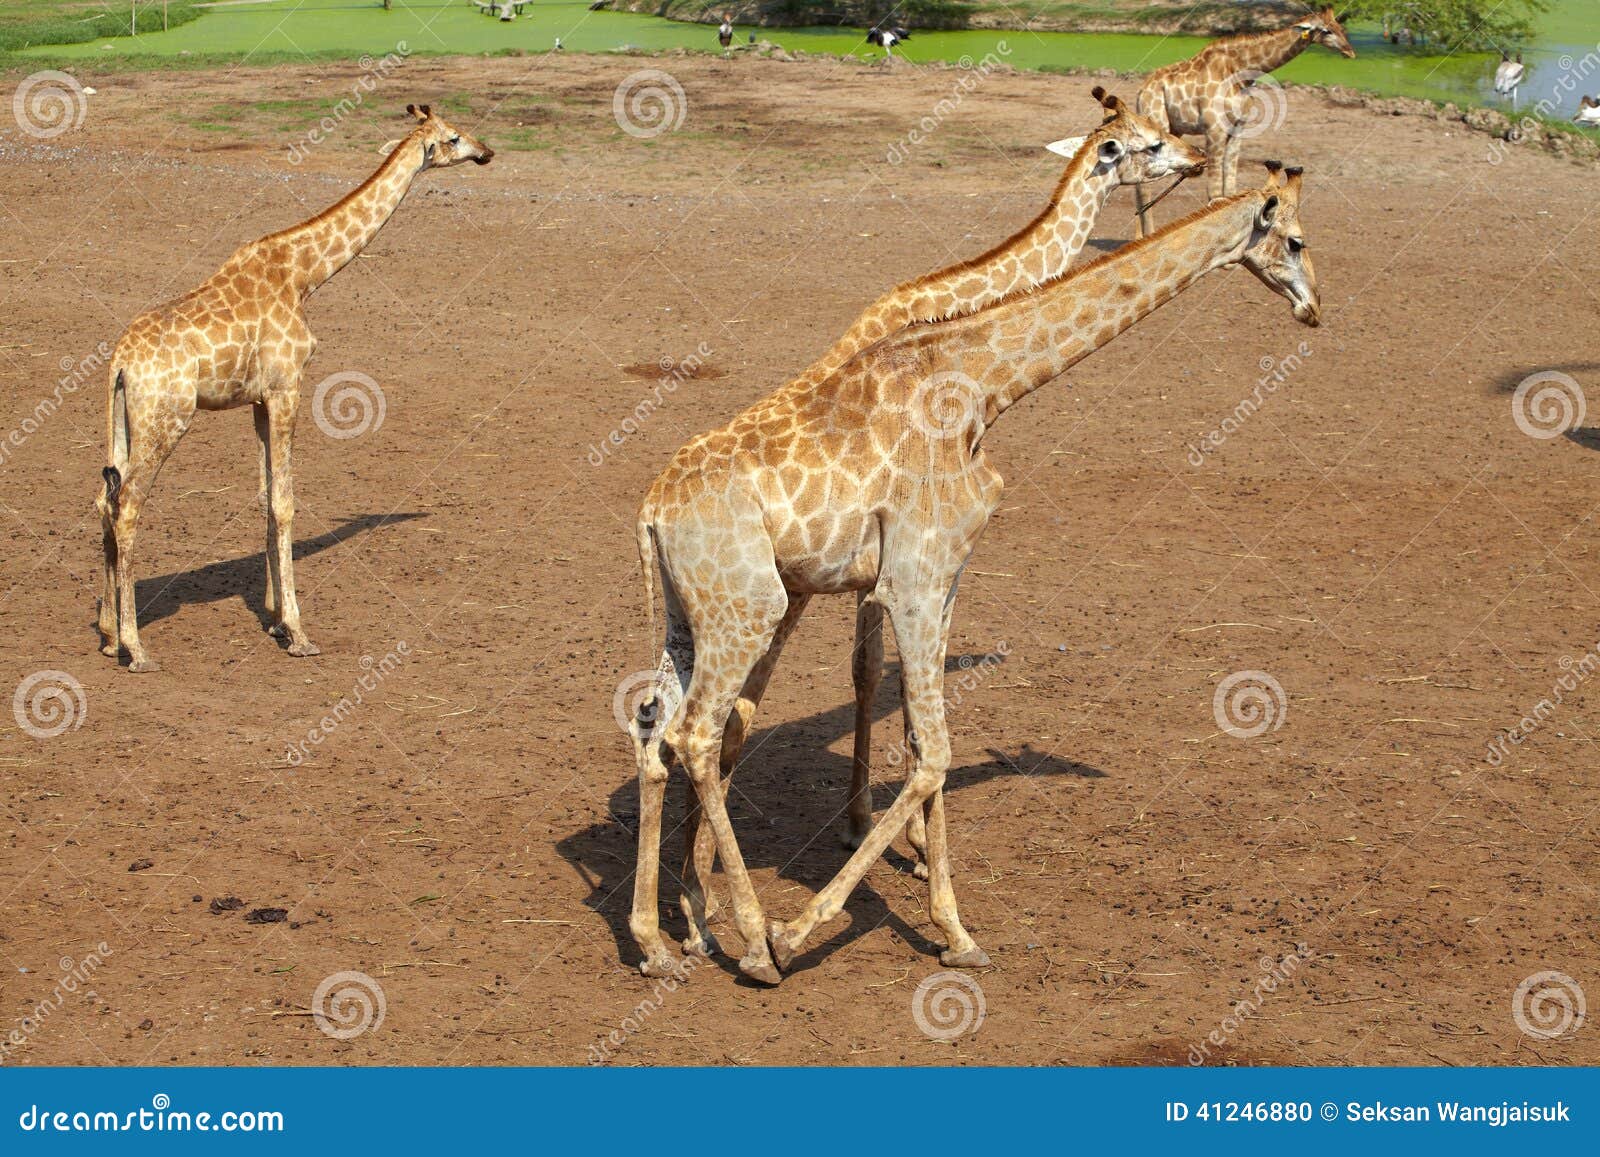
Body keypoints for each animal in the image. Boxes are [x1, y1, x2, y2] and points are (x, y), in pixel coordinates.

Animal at [95, 105, 493, 672]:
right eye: (454, 137)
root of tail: (121, 363)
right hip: (167, 419)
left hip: (125, 423)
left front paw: (275, 617)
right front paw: (299, 633)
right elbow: (285, 501)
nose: (487, 152)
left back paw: (108, 635)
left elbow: (265, 495)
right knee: (127, 506)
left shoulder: (260, 400)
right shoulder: (288, 386)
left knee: (103, 500)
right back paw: (136, 647)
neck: (304, 275)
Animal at [628, 163, 1321, 982]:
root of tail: (651, 511)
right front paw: (804, 930)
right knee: (701, 734)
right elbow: (935, 753)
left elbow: (924, 743)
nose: (1315, 308)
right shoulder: (913, 579)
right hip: (751, 605)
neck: (982, 382)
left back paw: (663, 940)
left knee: (653, 726)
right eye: (1297, 240)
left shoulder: (944, 579)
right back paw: (753, 940)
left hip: (690, 614)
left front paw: (953, 930)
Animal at [1133, 7, 1353, 235]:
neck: (1240, 69)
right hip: (1158, 125)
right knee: (1142, 182)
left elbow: (1229, 189)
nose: (1349, 51)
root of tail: (1141, 92)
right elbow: (1214, 192)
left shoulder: (1237, 128)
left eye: (1339, 26)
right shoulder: (1214, 129)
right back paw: (1146, 234)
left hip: (1174, 129)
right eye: (1326, 30)